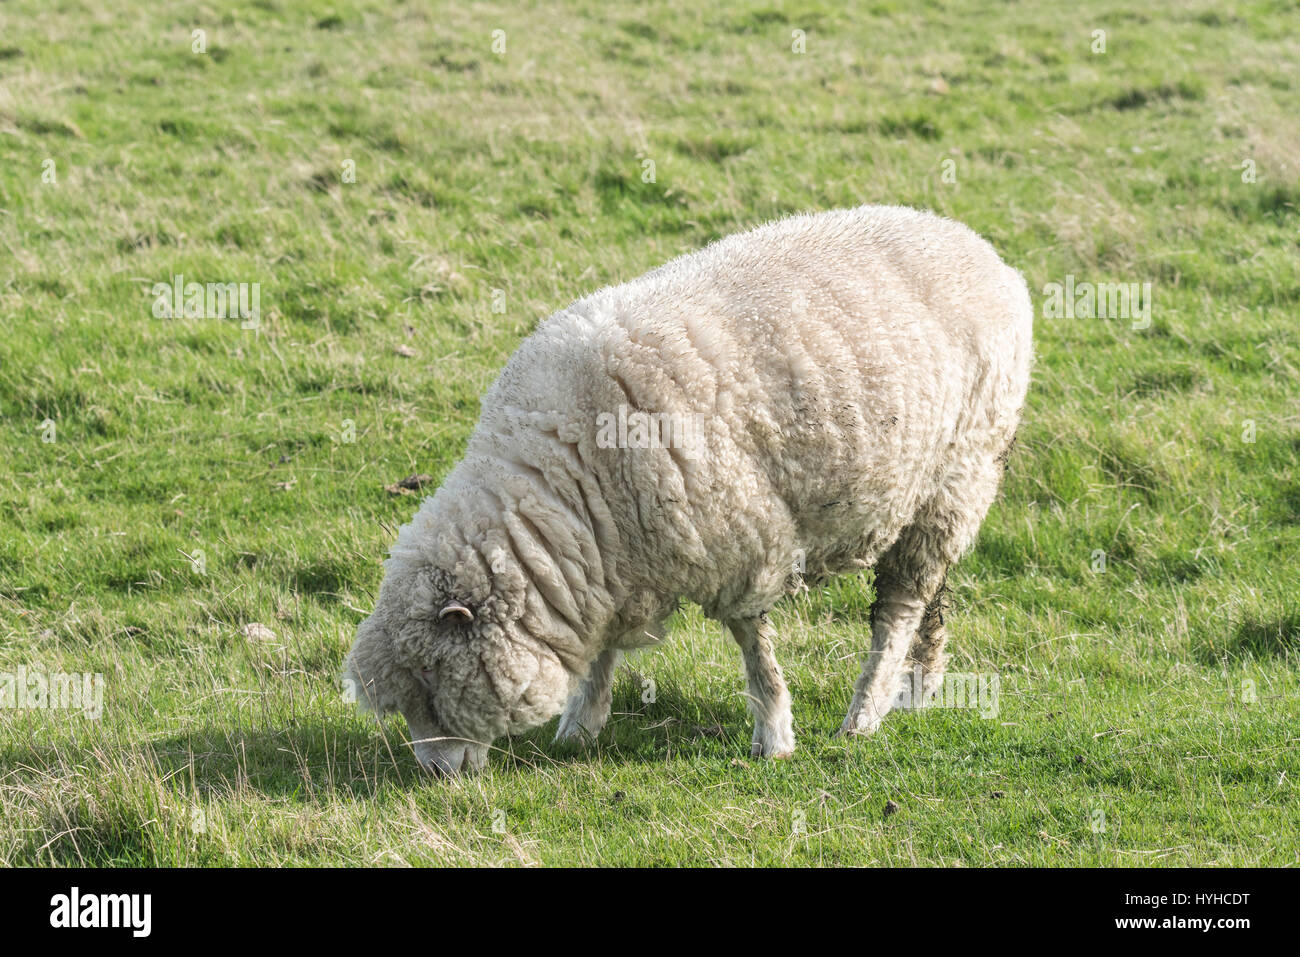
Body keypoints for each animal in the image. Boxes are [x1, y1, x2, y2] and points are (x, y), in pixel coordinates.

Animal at [344, 204, 1033, 775]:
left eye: (430, 678)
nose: (435, 776)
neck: (564, 485)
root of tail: (980, 248)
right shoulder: (610, 565)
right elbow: (602, 653)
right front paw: (582, 723)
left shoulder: (744, 544)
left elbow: (756, 651)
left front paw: (774, 735)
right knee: (934, 597)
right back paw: (919, 688)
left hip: (959, 472)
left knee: (901, 608)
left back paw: (865, 714)